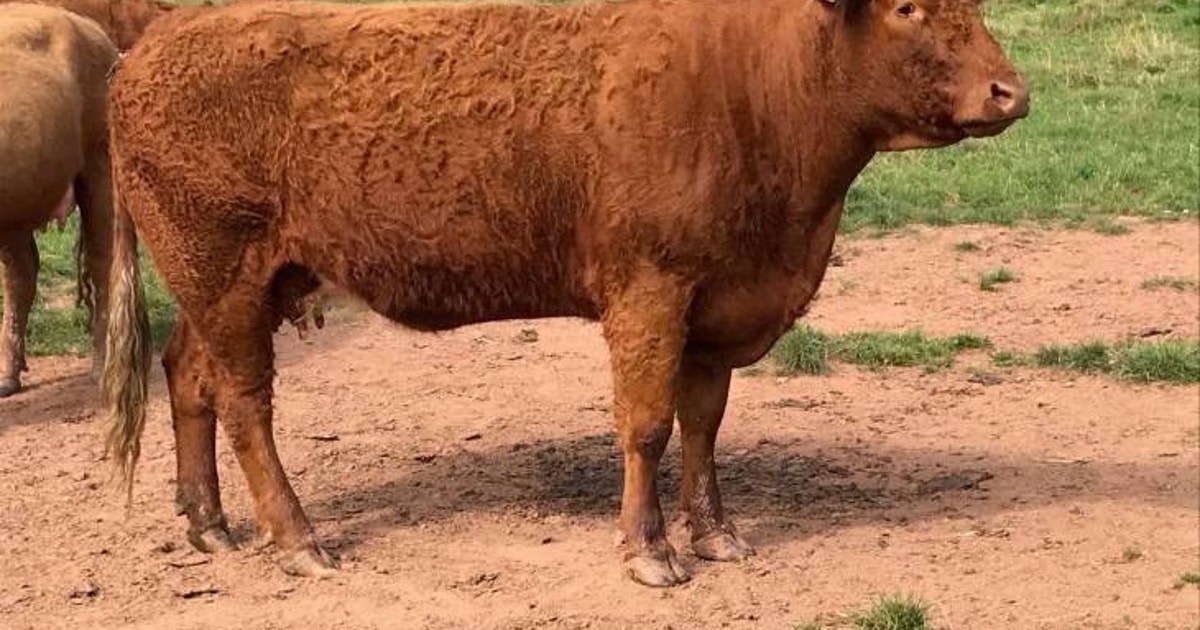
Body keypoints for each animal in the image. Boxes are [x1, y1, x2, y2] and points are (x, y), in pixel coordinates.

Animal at [103, 0, 1029, 586]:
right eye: (907, 7)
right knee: (245, 404)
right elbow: (647, 426)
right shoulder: (650, 293)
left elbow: (702, 425)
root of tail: (149, 46)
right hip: (227, 281)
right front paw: (649, 553)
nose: (1010, 92)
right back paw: (297, 540)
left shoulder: (716, 307)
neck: (751, 82)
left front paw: (716, 535)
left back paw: (208, 524)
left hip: (224, 289)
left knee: (189, 378)